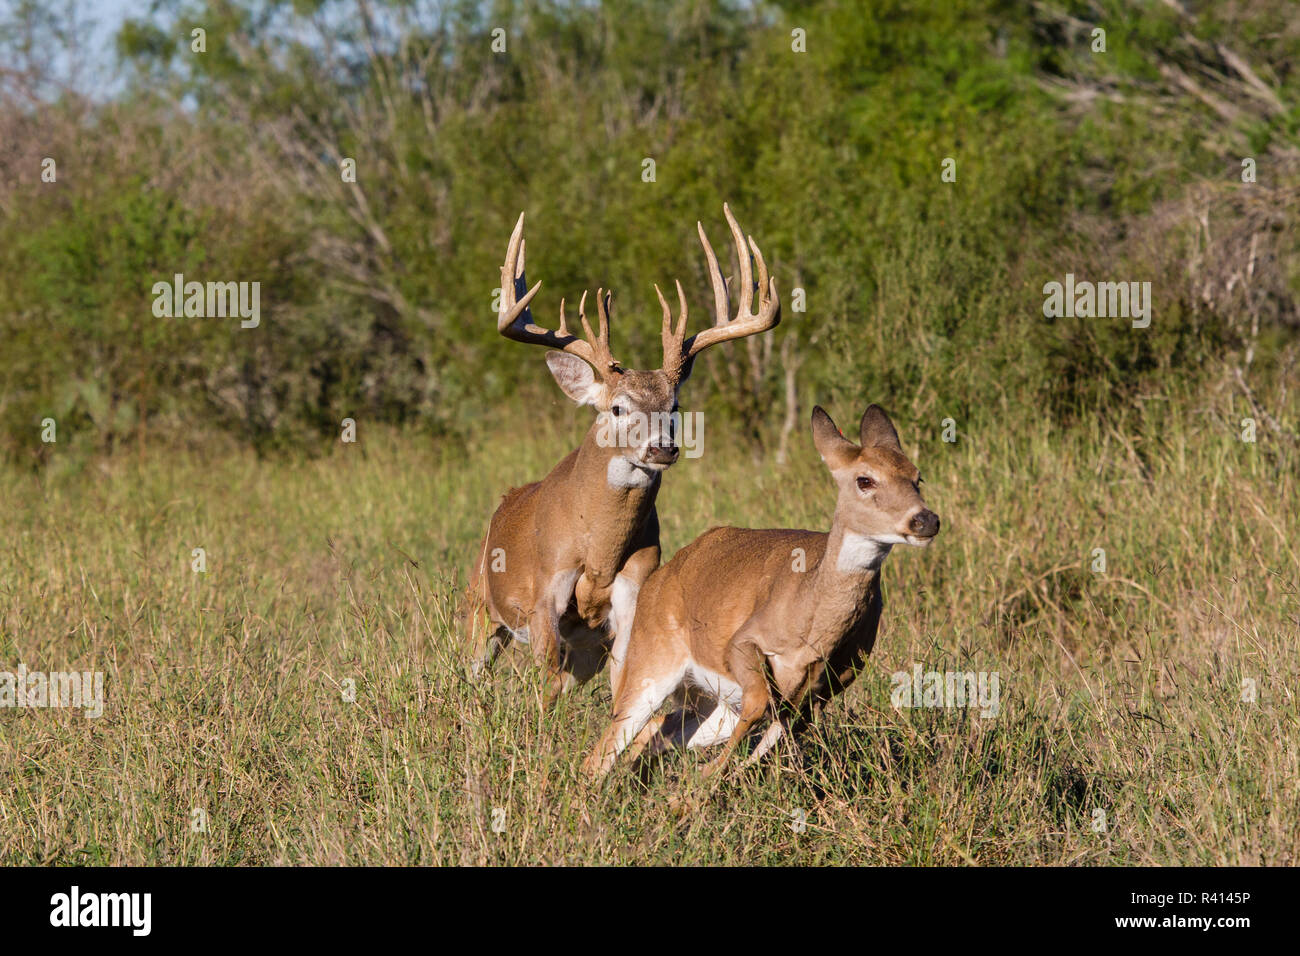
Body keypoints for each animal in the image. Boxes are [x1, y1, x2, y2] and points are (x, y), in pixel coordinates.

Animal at [465, 205, 780, 703]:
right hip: (481, 603)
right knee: (473, 666)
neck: (597, 549)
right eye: (617, 407)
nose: (662, 448)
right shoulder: (543, 593)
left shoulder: (633, 591)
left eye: (675, 405)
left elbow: (620, 680)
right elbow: (545, 682)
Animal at [583, 403, 940, 780]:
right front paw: (710, 774)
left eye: (917, 477)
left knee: (659, 728)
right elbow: (758, 706)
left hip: (712, 700)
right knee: (605, 748)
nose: (926, 520)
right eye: (865, 479)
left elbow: (777, 733)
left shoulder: (826, 689)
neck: (814, 625)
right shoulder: (743, 641)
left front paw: (719, 775)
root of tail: (662, 573)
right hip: (652, 655)